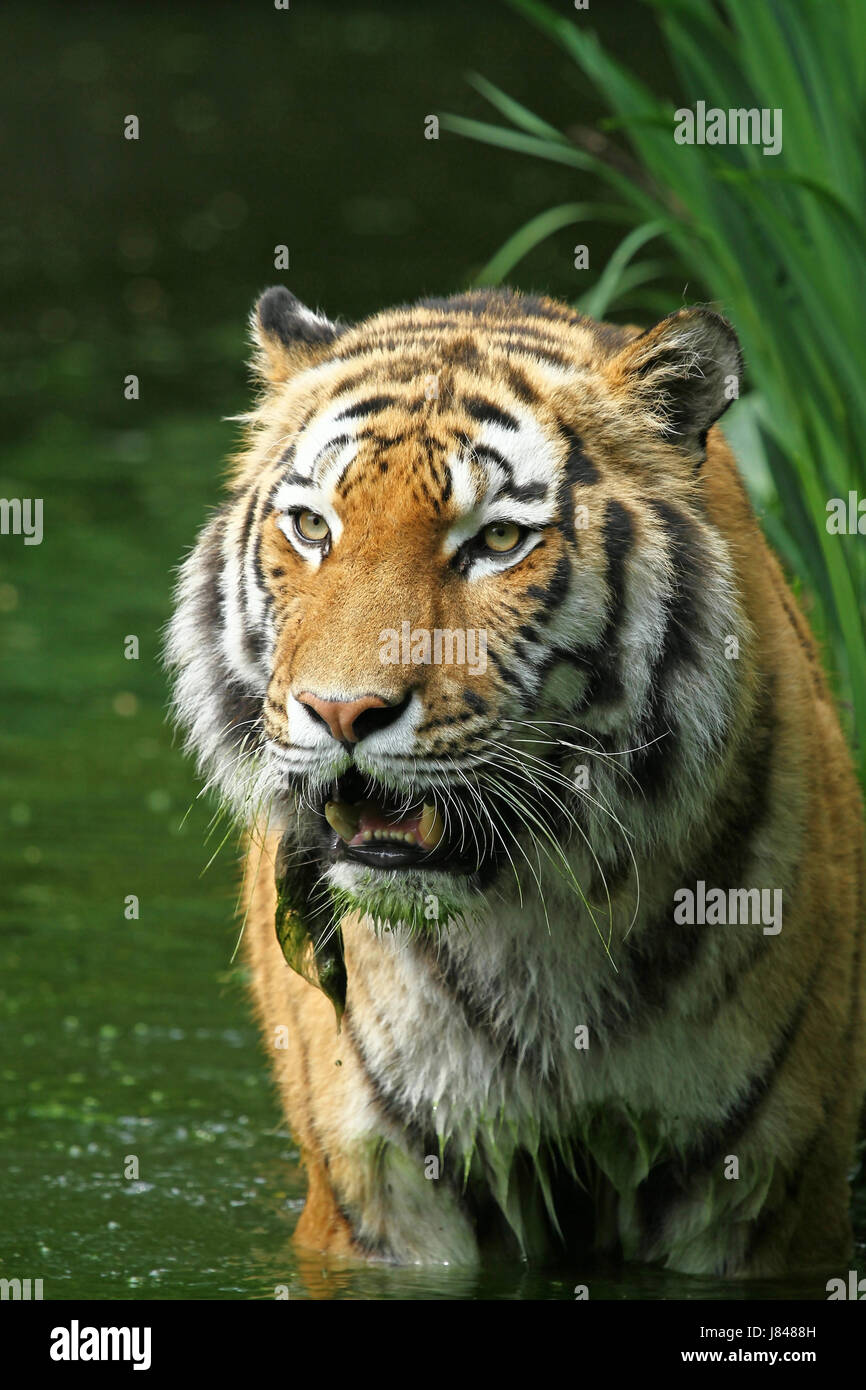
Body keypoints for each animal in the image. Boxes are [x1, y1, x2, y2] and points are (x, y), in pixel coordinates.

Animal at [166, 283, 865, 1280]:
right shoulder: (385, 1187)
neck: (540, 913)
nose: (340, 713)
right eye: (312, 528)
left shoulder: (765, 1186)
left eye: (496, 540)